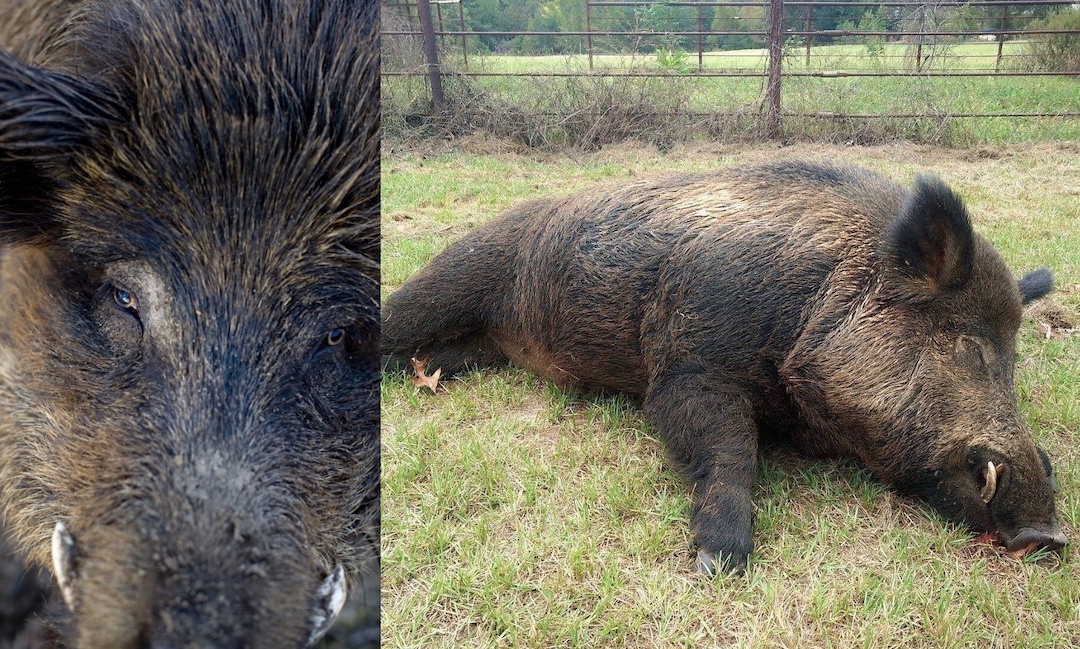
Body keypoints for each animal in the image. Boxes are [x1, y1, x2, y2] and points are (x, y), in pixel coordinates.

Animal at [383, 162, 1065, 574]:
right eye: (974, 347)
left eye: (1015, 360)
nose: (1049, 534)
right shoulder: (690, 361)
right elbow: (730, 445)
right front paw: (721, 562)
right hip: (454, 274)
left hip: (485, 343)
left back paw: (427, 373)